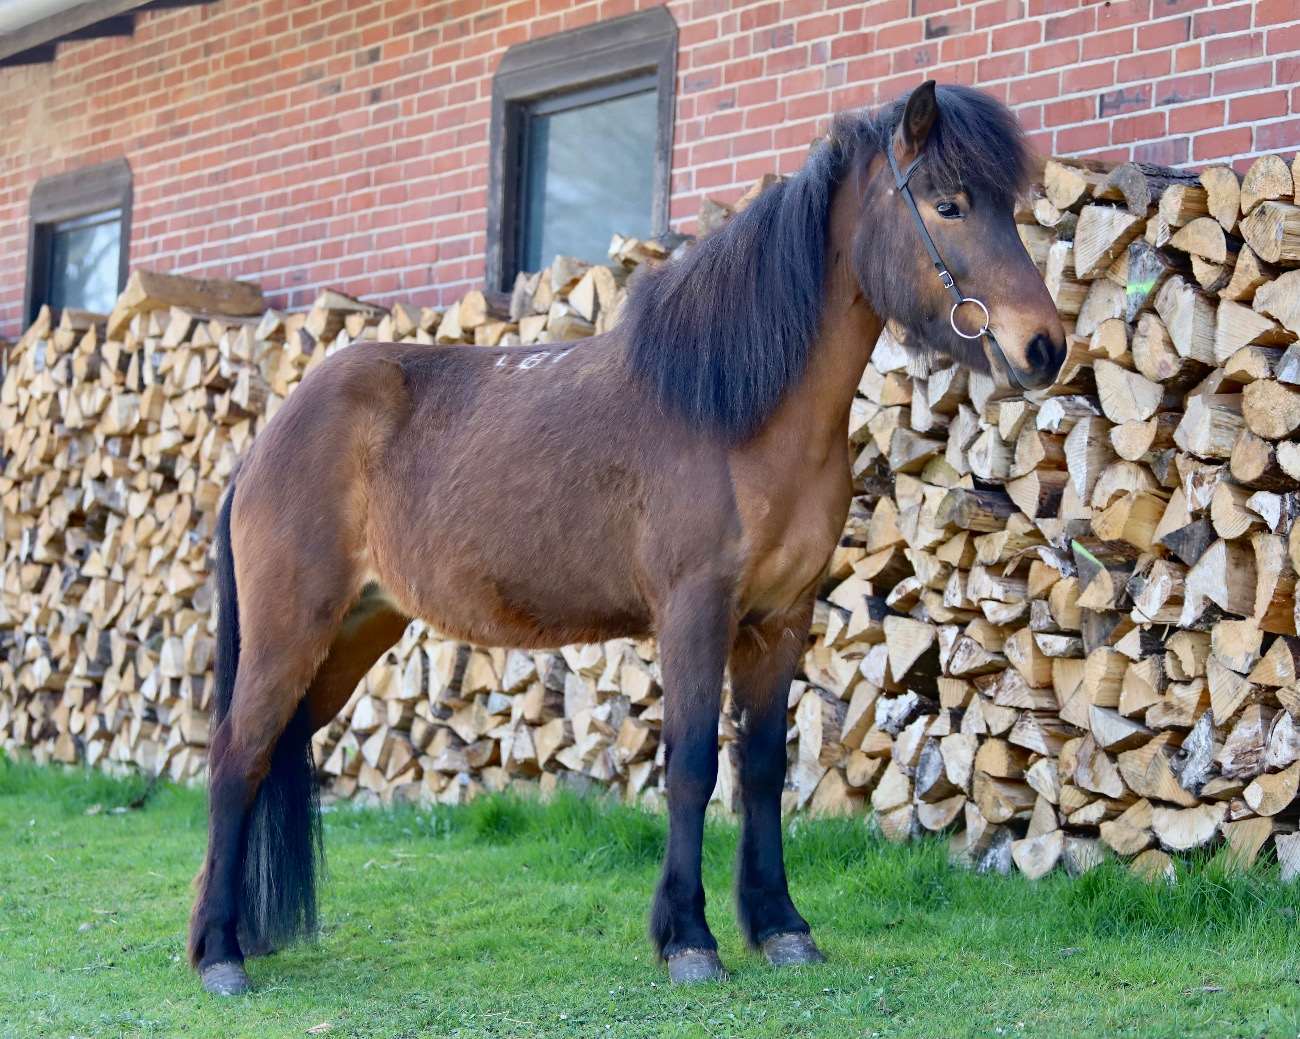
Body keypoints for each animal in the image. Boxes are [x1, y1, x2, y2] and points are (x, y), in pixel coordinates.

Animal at [188, 80, 1066, 996]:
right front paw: (689, 938)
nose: (1045, 346)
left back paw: (241, 935)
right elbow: (691, 765)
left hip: (353, 631)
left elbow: (762, 768)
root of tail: (267, 440)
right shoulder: (695, 610)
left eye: (1006, 205)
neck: (731, 409)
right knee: (236, 757)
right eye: (948, 204)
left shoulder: (779, 619)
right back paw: (219, 954)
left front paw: (781, 926)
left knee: (272, 752)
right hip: (292, 627)